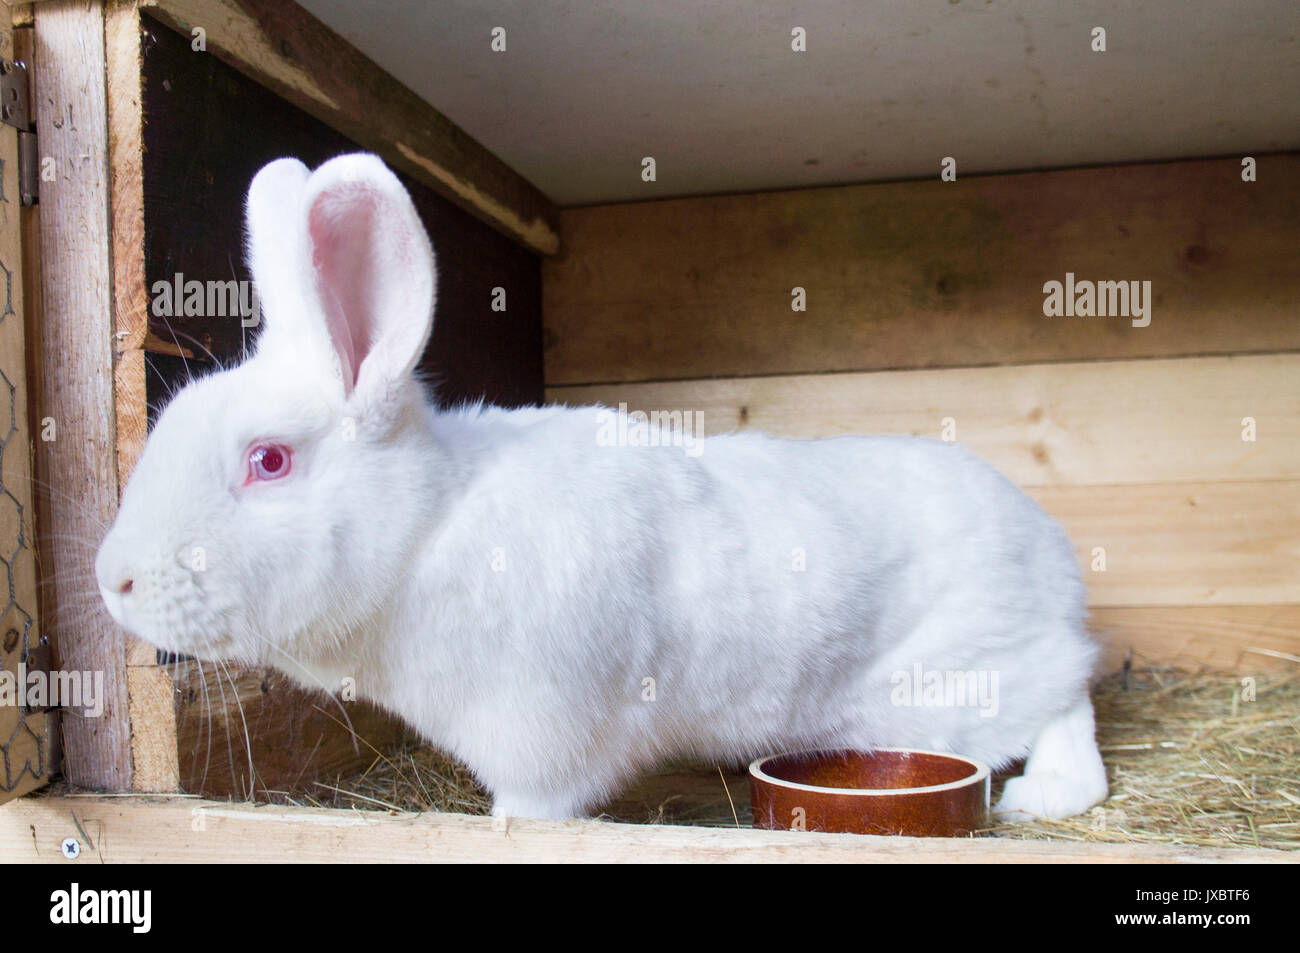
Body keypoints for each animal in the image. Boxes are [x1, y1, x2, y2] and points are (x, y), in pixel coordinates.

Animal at [95, 153, 1108, 823]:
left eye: (268, 461)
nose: (114, 580)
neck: (431, 530)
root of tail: (1055, 550)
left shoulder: (541, 730)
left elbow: (534, 804)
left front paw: (504, 826)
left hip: (975, 677)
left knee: (1068, 702)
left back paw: (1043, 795)